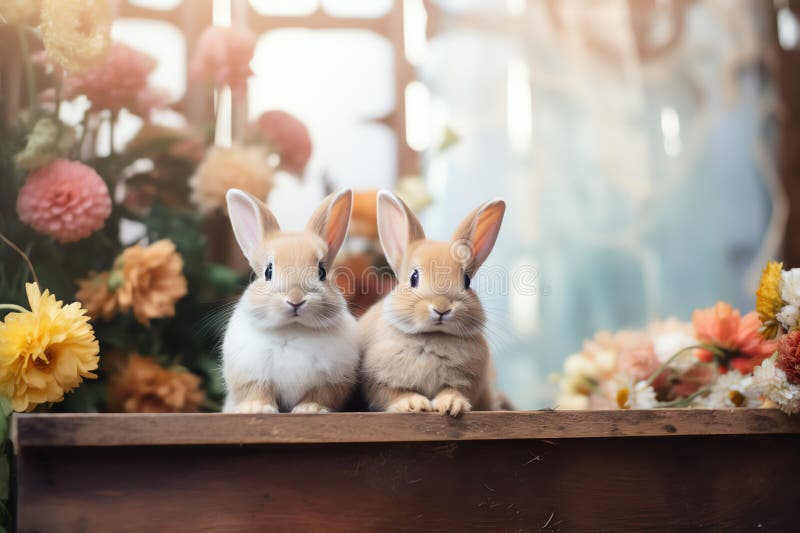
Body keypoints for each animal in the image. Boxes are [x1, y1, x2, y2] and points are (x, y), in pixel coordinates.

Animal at [221, 188, 359, 414]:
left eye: (321, 271)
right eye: (268, 271)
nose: (295, 299)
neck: (293, 327)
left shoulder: (331, 381)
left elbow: (320, 395)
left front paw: (310, 409)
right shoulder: (251, 375)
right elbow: (256, 392)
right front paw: (257, 409)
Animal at [359, 191, 506, 416]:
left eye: (466, 281)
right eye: (414, 277)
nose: (442, 308)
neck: (432, 337)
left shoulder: (466, 383)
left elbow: (453, 391)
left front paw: (451, 405)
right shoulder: (379, 382)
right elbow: (394, 394)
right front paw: (414, 405)